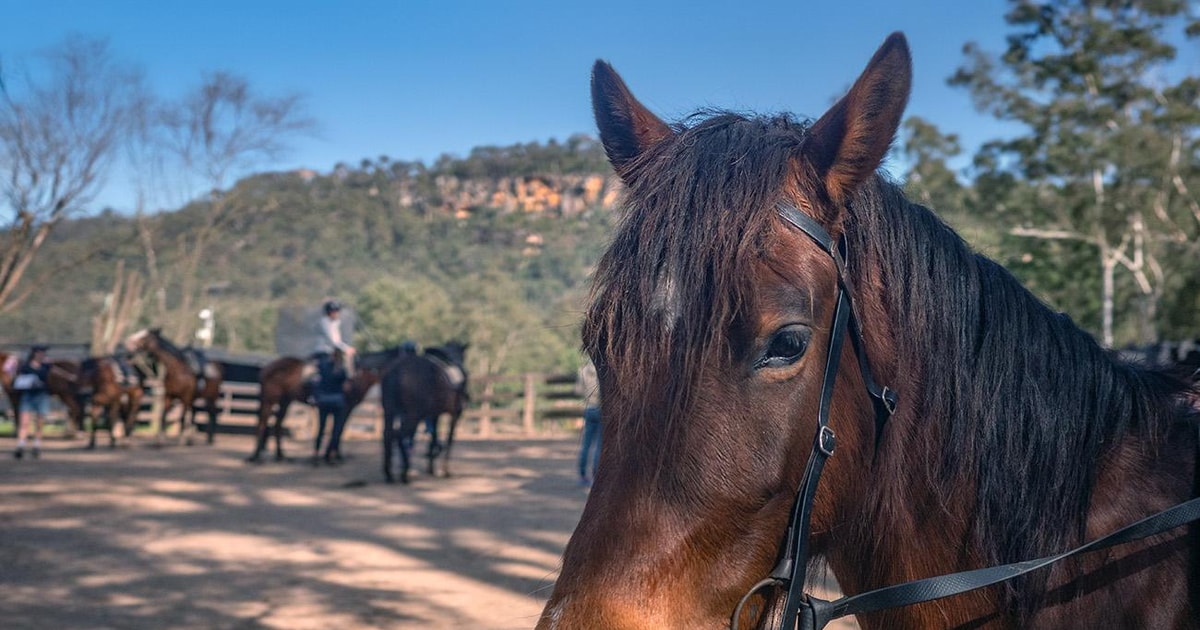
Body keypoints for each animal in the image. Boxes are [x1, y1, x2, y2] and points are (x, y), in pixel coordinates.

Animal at [246, 346, 402, 463]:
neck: (358, 375)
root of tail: (266, 368)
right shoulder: (344, 408)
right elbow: (338, 430)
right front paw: (335, 455)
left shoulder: (347, 408)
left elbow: (339, 429)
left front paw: (335, 455)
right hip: (269, 400)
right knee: (262, 423)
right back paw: (255, 456)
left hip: (285, 401)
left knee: (277, 424)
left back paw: (280, 455)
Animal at [379, 342, 469, 484]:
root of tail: (397, 370)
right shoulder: (455, 414)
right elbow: (449, 439)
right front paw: (445, 470)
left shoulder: (434, 414)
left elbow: (434, 437)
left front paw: (431, 466)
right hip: (413, 415)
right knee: (400, 435)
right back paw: (404, 473)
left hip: (389, 411)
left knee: (388, 434)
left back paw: (389, 474)